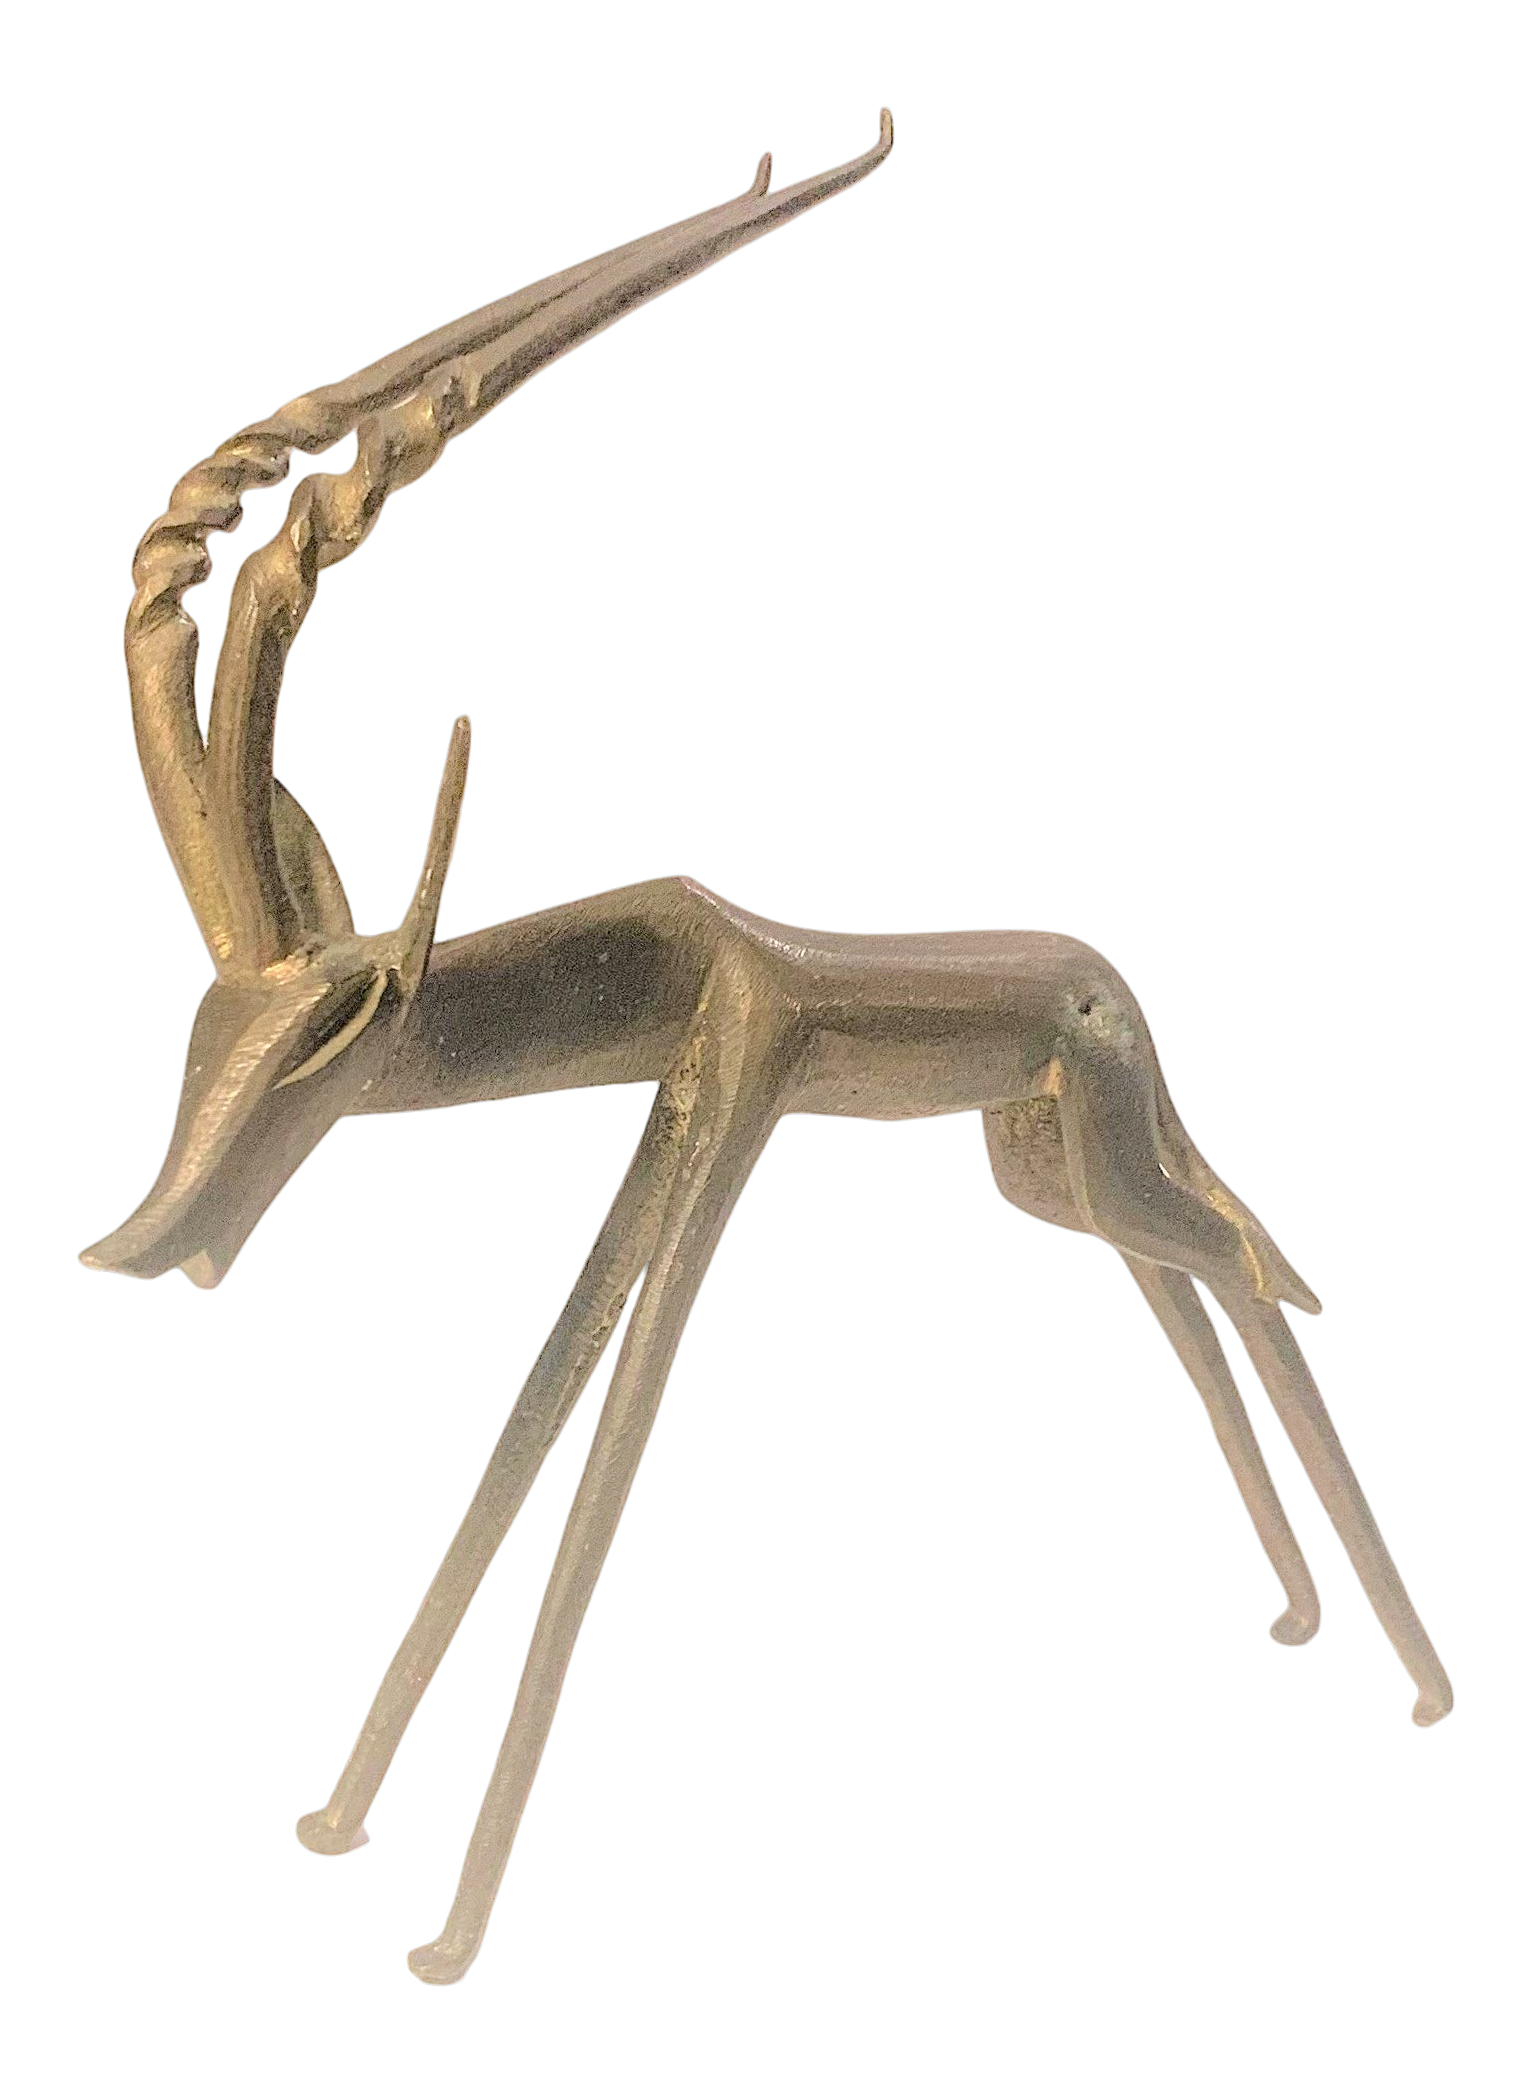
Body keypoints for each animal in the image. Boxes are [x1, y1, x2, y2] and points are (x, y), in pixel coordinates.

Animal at [78, 108, 1452, 1987]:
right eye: (201, 1029)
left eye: (332, 1035)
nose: (138, 1246)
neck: (674, 959)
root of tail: (1112, 983)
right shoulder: (659, 1133)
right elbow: (538, 1407)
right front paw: (338, 1826)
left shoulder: (727, 1112)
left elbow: (608, 1437)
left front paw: (448, 1939)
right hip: (1050, 1172)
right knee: (1197, 1270)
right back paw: (1308, 1614)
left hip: (1096, 1158)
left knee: (1247, 1266)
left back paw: (1422, 1685)